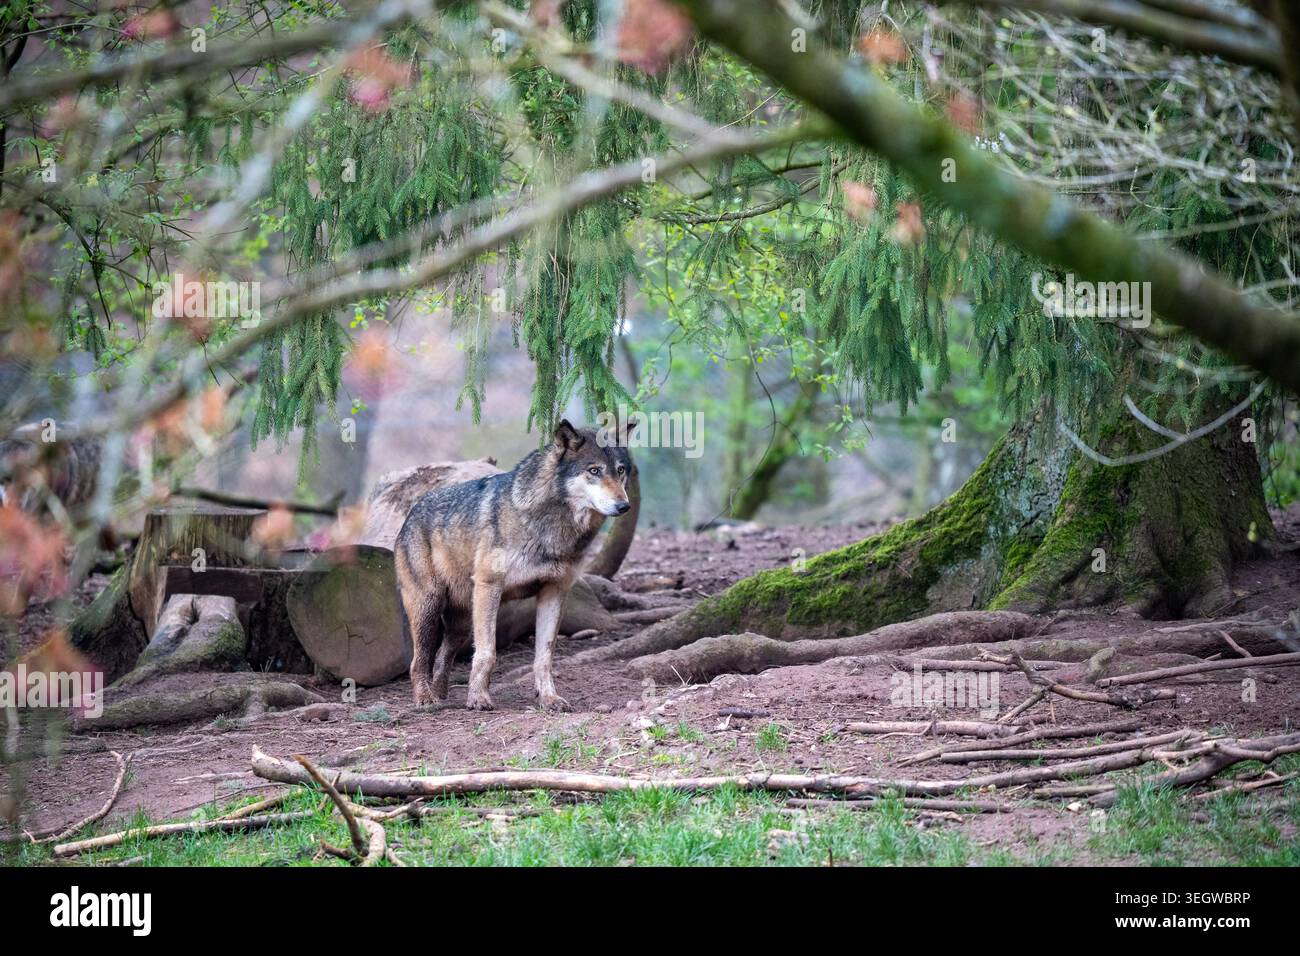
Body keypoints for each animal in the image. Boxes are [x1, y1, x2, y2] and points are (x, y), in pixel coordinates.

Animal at [394, 420, 635, 711]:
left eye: (620, 470)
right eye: (594, 471)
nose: (624, 506)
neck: (552, 526)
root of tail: (412, 512)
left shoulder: (554, 591)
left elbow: (544, 657)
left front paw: (549, 698)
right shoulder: (490, 586)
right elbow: (487, 652)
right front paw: (478, 698)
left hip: (462, 622)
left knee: (442, 656)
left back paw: (441, 696)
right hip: (429, 608)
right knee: (419, 660)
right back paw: (425, 699)